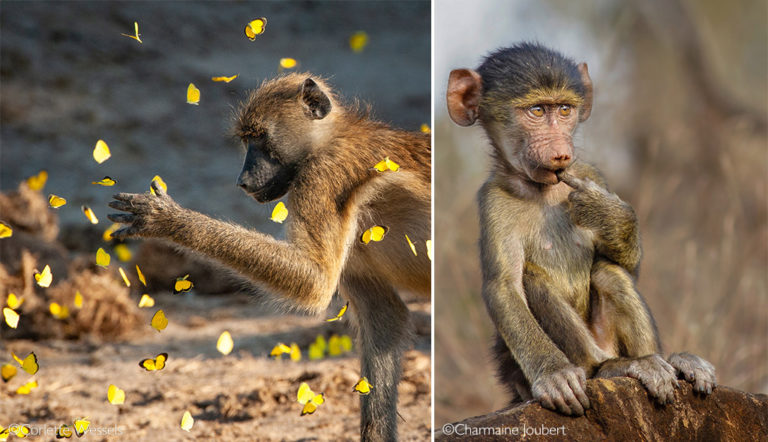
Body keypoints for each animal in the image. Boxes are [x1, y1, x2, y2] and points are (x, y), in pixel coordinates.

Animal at [107, 73, 430, 441]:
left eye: (261, 137)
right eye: (247, 139)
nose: (243, 181)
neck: (328, 138)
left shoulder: (322, 176)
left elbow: (315, 280)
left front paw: (169, 220)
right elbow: (384, 317)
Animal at [446, 42, 715, 416]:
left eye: (564, 110)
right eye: (536, 111)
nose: (561, 153)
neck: (542, 189)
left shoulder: (590, 173)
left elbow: (630, 268)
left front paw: (607, 213)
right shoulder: (493, 201)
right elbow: (504, 287)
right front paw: (554, 374)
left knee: (608, 272)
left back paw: (663, 361)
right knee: (534, 280)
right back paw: (607, 369)